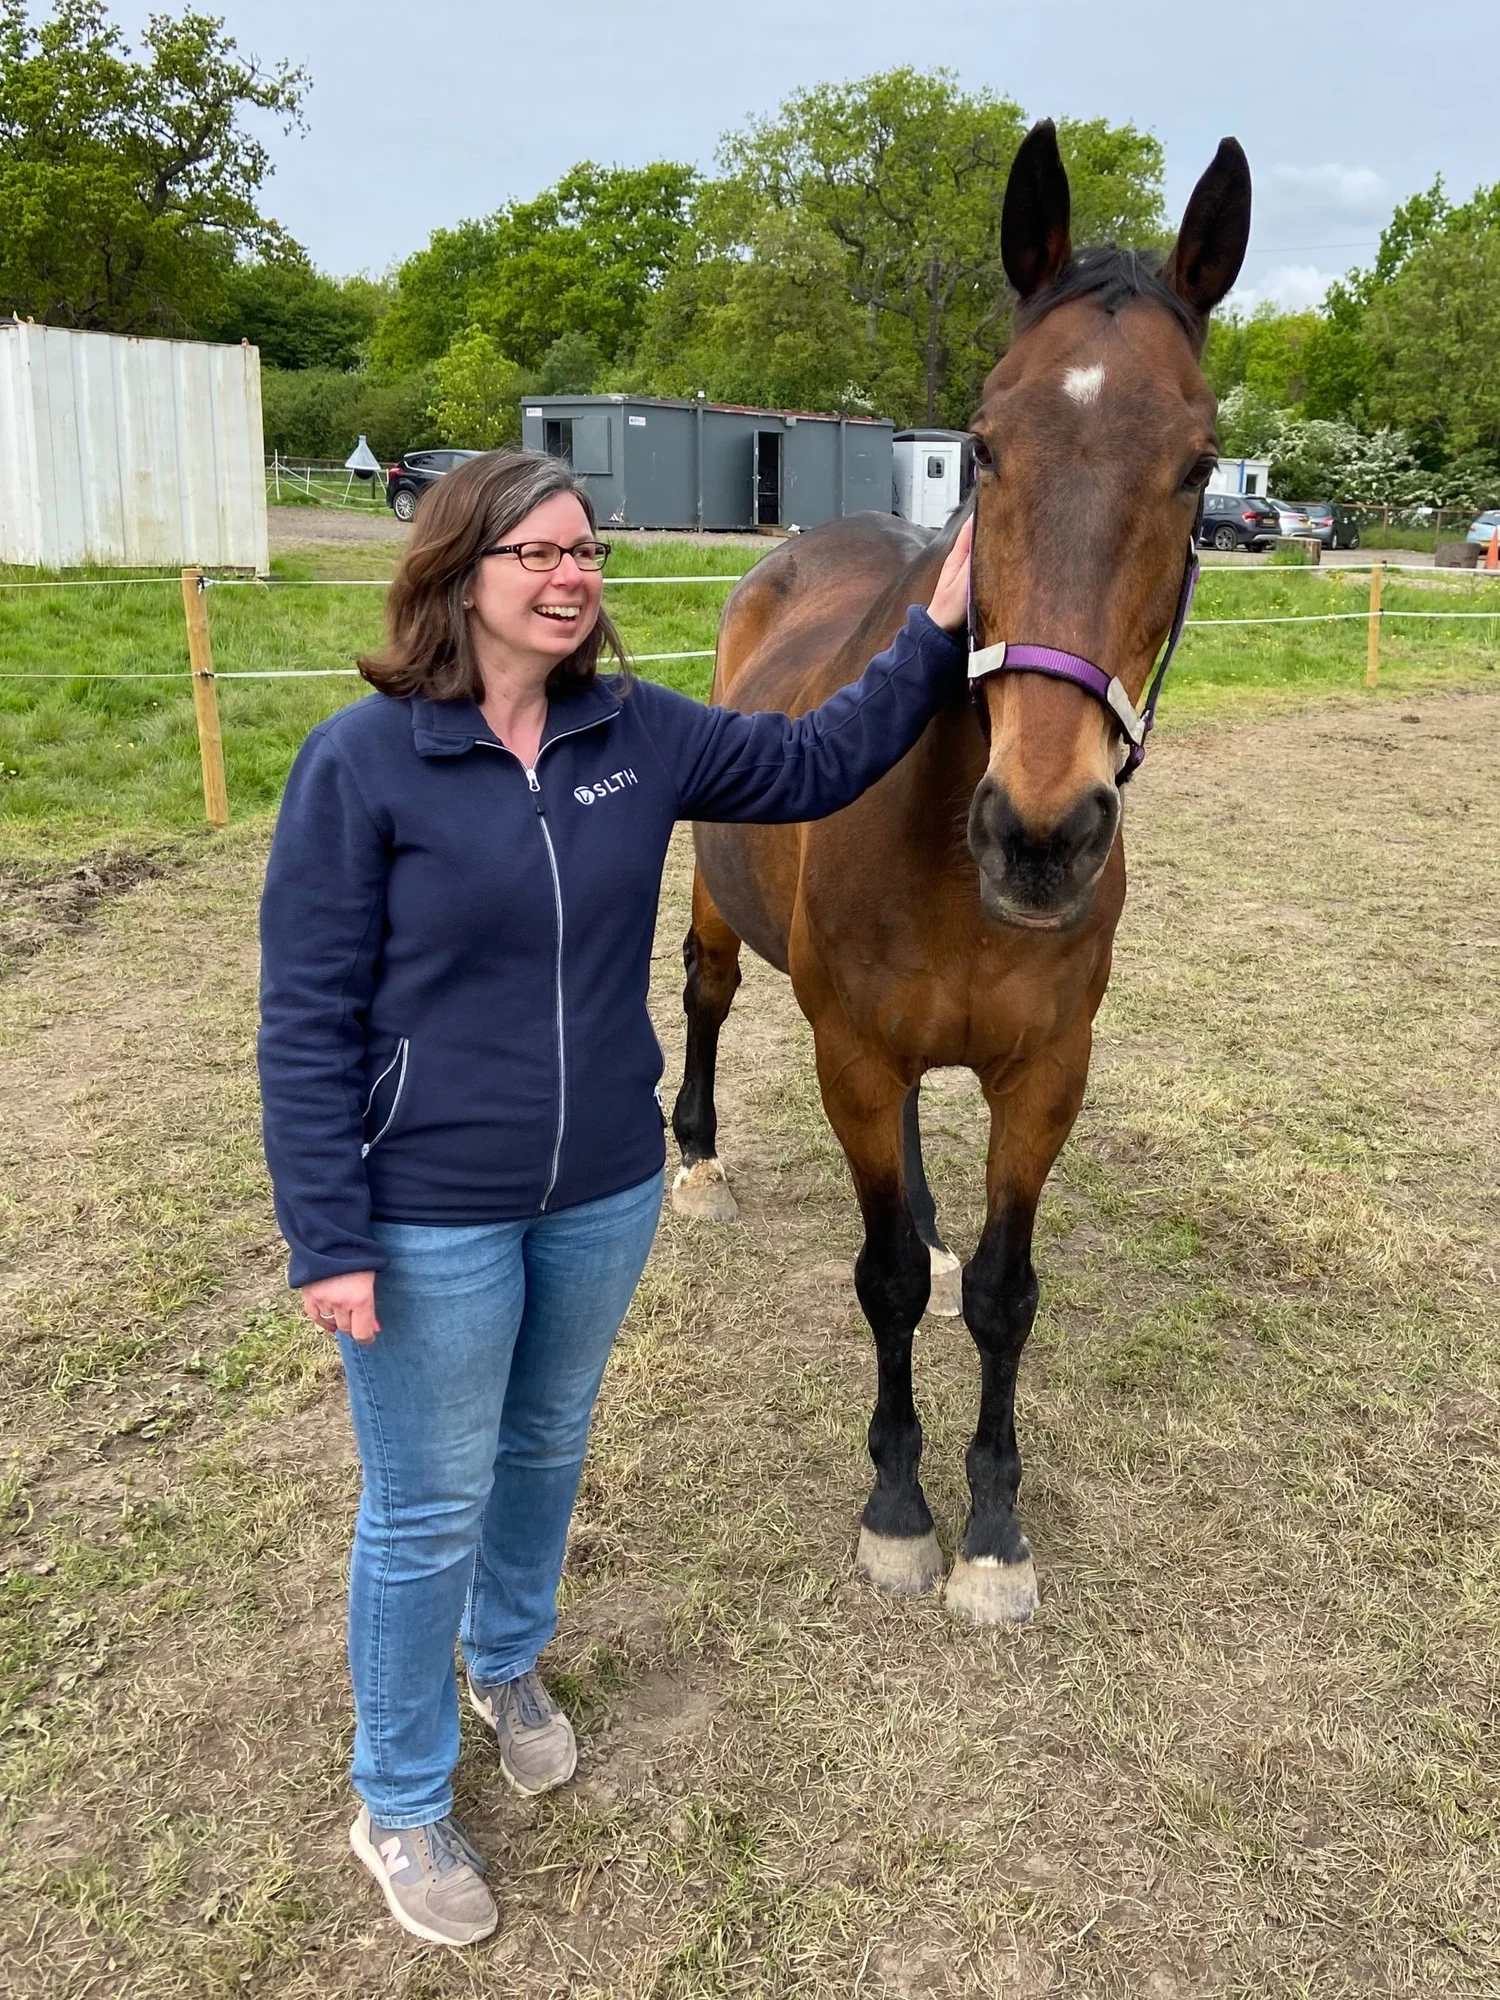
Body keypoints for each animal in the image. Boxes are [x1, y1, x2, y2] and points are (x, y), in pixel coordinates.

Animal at [669, 121, 1252, 1625]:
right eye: (984, 444)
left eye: (1200, 466)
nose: (1041, 834)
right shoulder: (852, 1056)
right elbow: (878, 1284)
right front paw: (897, 1504)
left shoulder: (1045, 1071)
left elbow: (1002, 1292)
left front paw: (993, 1524)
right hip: (712, 900)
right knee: (702, 995)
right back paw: (695, 1158)